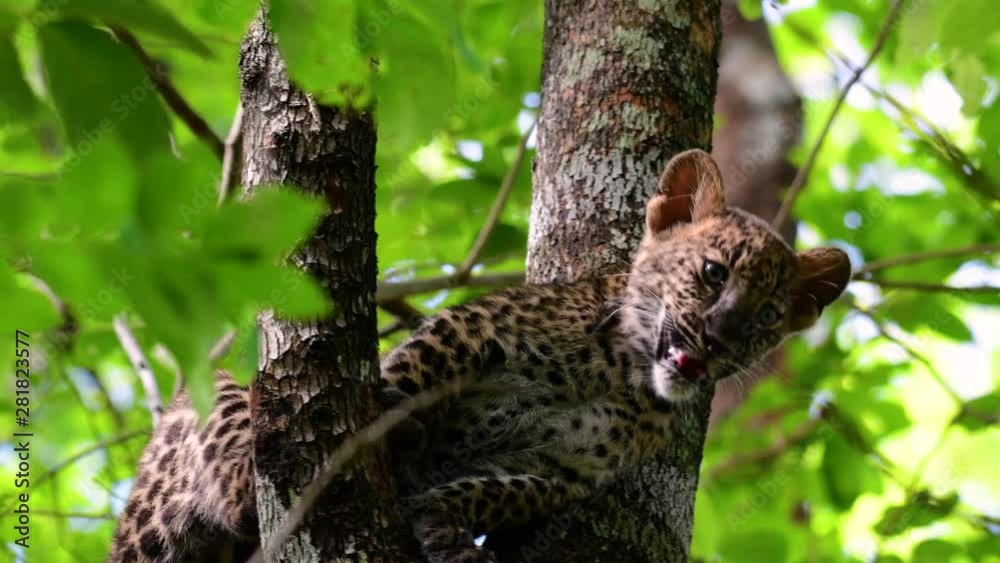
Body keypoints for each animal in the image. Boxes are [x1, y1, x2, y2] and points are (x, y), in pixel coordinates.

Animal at [108, 149, 851, 563]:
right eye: (713, 273)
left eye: (767, 317)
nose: (722, 337)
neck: (620, 373)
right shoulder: (468, 334)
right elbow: (408, 376)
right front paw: (394, 427)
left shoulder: (560, 471)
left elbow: (489, 493)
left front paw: (444, 530)